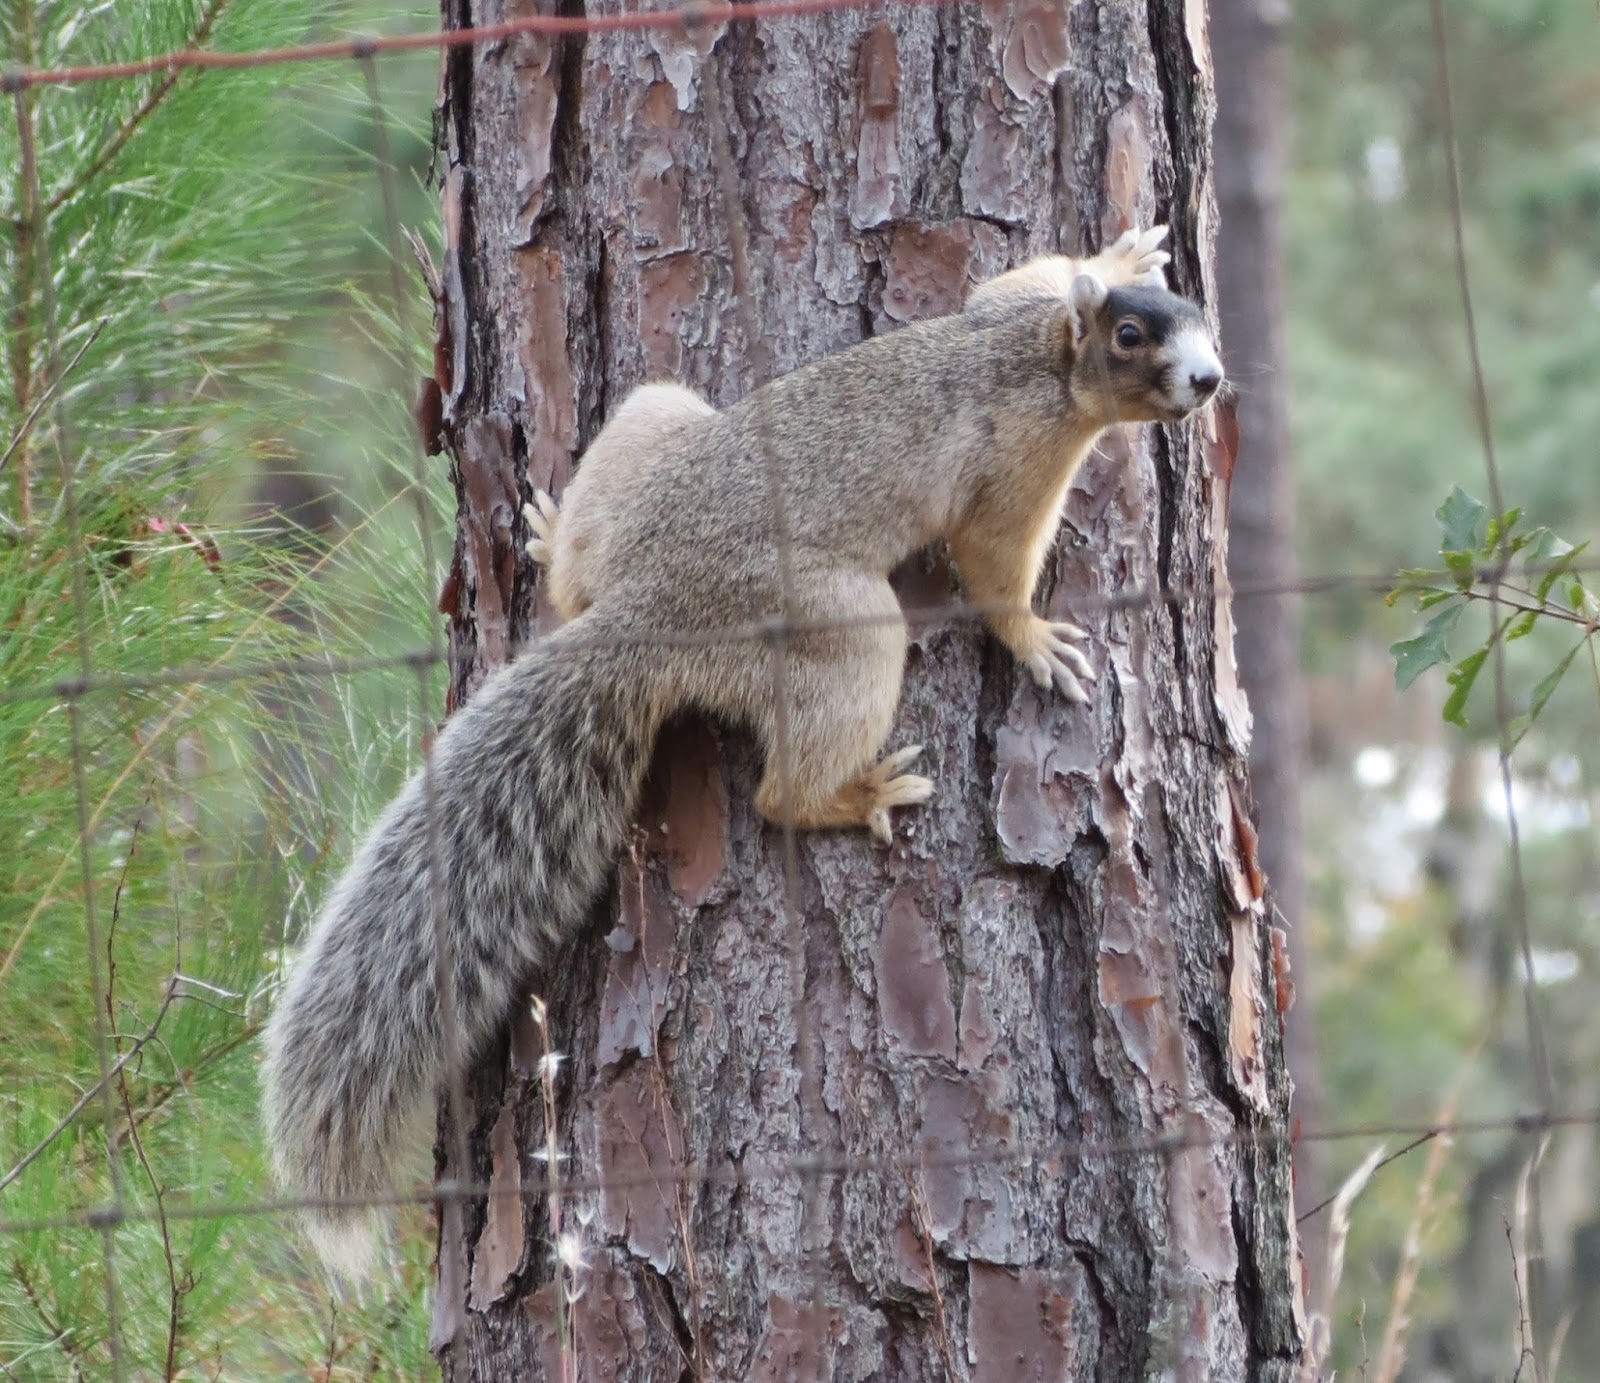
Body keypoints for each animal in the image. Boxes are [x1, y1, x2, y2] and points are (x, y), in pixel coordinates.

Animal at [260, 225, 1224, 1279]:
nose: (1212, 378)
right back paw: (859, 792)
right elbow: (994, 567)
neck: (1038, 361)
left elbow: (1017, 276)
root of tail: (644, 611)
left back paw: (556, 542)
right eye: (1131, 336)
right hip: (841, 626)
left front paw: (1119, 244)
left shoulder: (1003, 309)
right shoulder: (1012, 468)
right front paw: (1037, 640)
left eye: (1194, 314)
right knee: (778, 794)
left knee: (583, 567)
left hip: (655, 418)